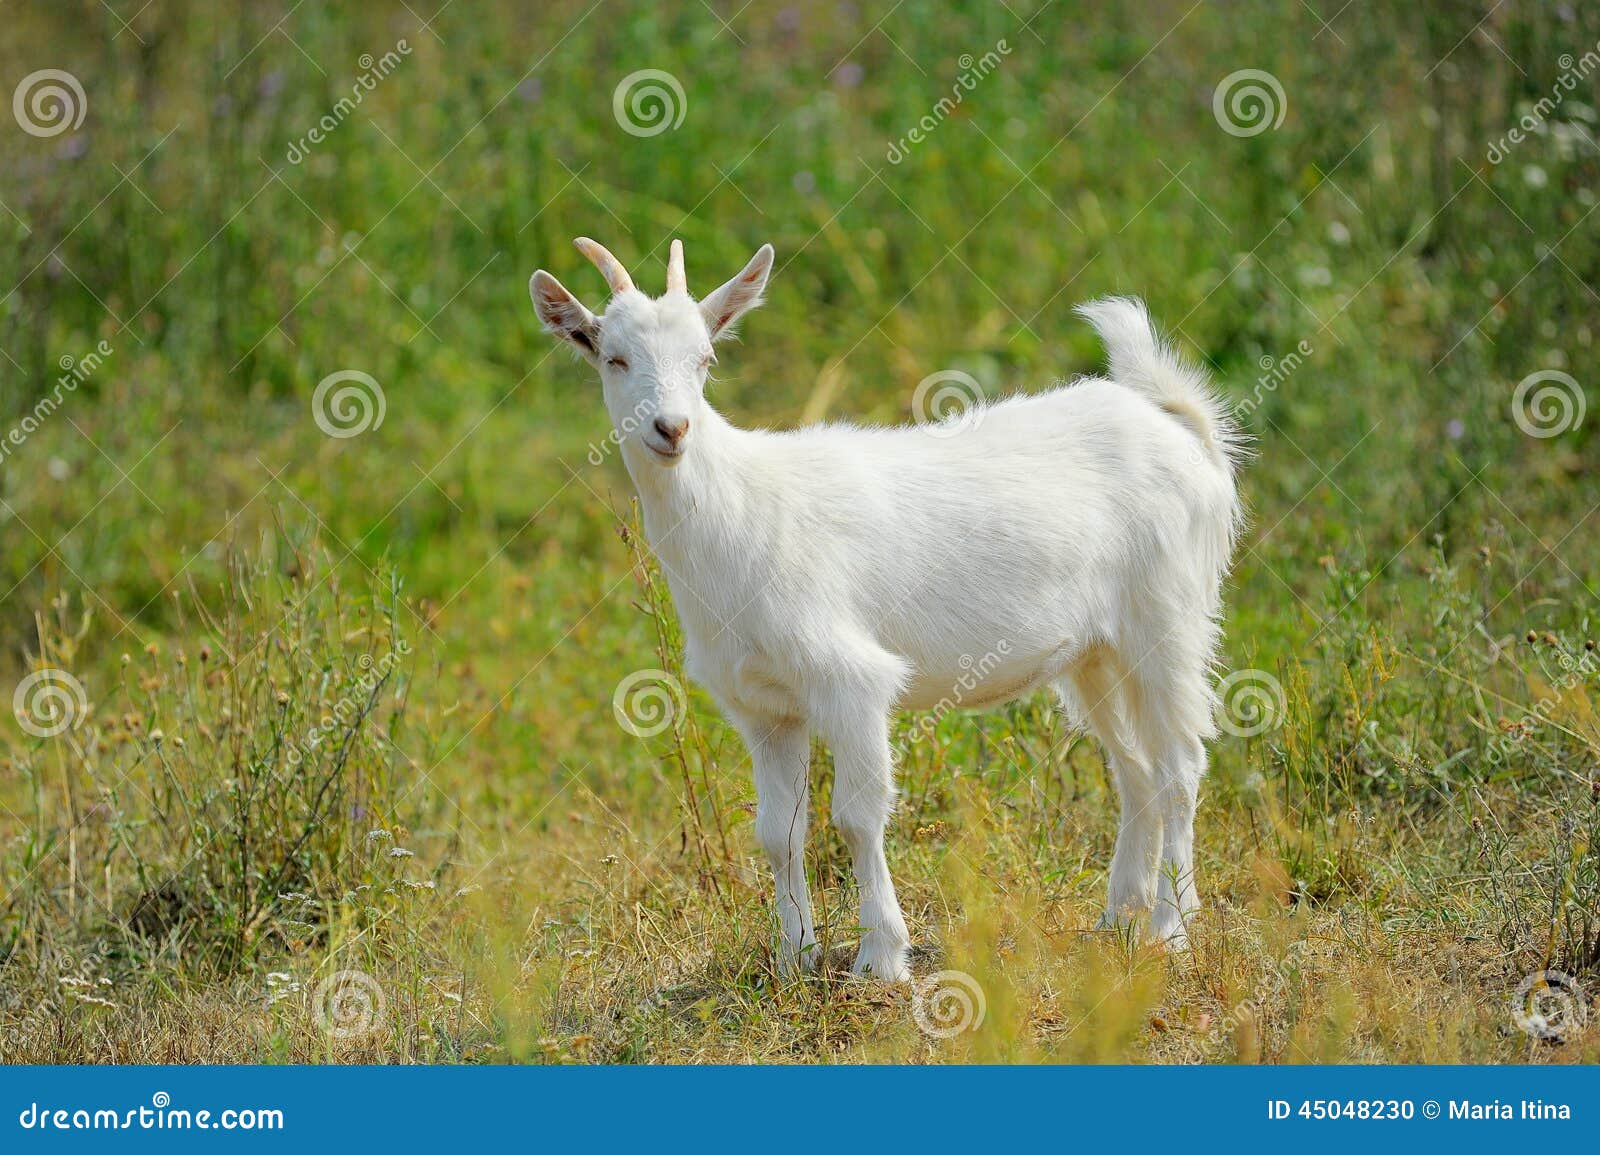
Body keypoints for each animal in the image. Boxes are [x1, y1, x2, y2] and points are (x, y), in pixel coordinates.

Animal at [530, 237, 1243, 981]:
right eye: (612, 357)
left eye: (706, 358)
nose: (672, 428)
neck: (740, 507)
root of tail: (1180, 427)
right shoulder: (763, 707)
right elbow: (779, 830)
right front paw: (795, 957)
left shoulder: (853, 680)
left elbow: (856, 816)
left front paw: (882, 956)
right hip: (1096, 653)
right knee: (1135, 769)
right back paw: (1118, 918)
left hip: (1170, 617)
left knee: (1180, 764)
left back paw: (1172, 927)